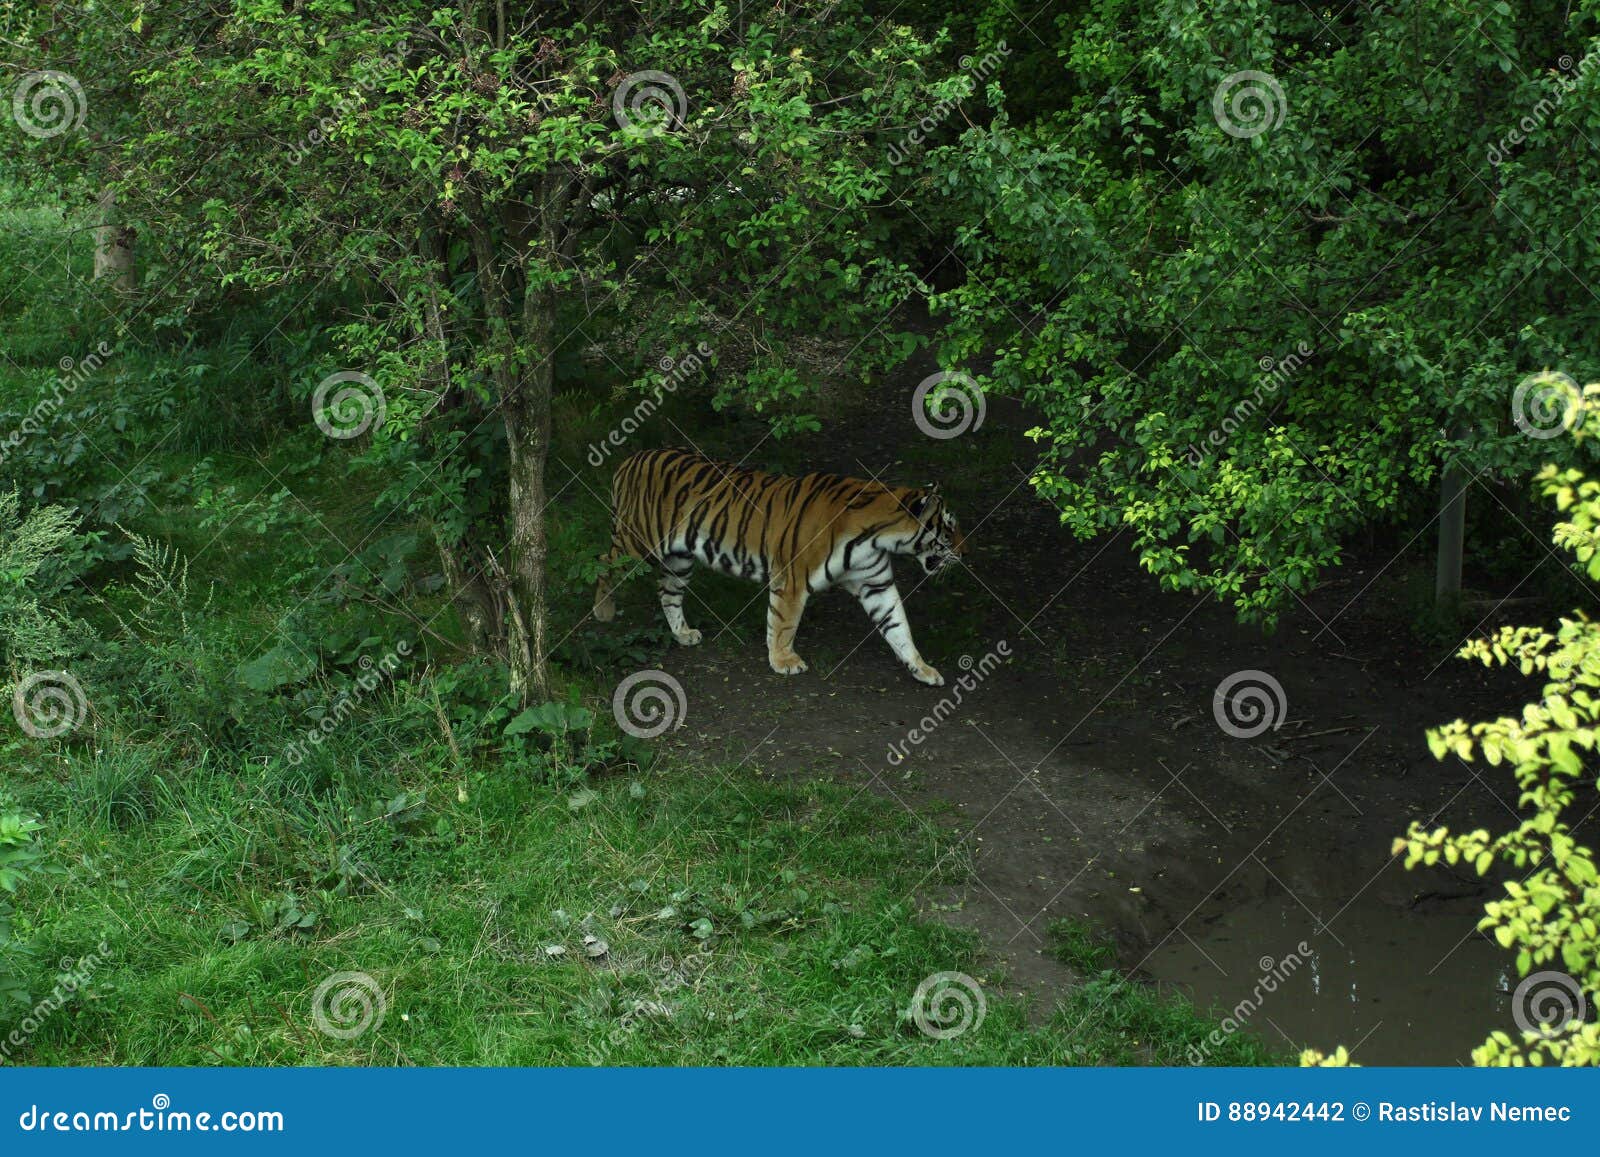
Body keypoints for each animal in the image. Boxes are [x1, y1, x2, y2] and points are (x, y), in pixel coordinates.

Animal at [592, 448, 965, 685]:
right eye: (948, 528)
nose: (964, 551)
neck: (878, 536)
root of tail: (629, 460)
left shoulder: (876, 585)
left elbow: (899, 627)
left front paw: (922, 669)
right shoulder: (793, 579)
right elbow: (784, 622)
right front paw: (784, 661)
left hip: (680, 559)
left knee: (666, 592)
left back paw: (683, 634)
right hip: (637, 544)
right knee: (603, 563)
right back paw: (602, 611)